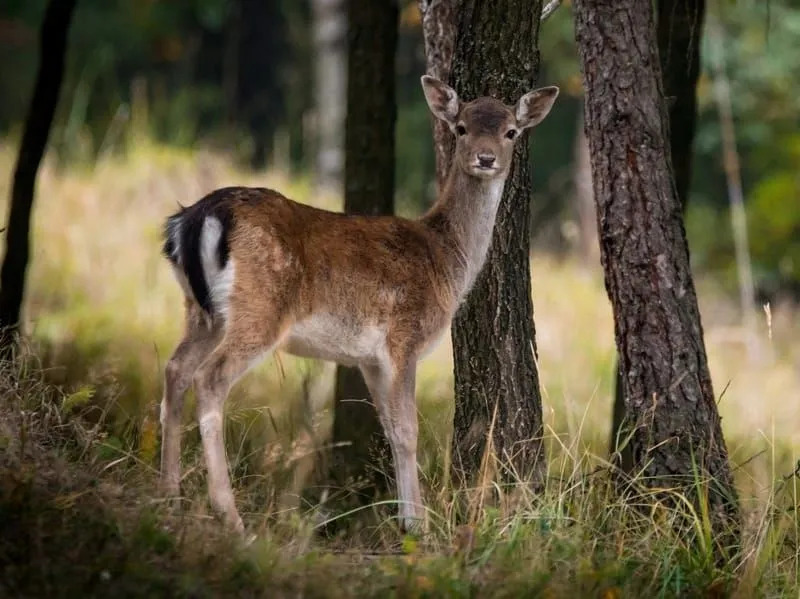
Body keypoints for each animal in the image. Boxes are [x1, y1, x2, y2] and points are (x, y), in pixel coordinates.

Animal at [159, 76, 560, 536]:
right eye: (460, 128)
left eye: (511, 131)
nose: (486, 157)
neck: (447, 261)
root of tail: (194, 219)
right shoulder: (404, 337)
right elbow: (407, 429)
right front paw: (418, 525)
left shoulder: (368, 358)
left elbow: (388, 428)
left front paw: (405, 517)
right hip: (260, 310)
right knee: (210, 378)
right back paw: (231, 516)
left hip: (201, 312)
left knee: (176, 370)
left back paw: (168, 498)